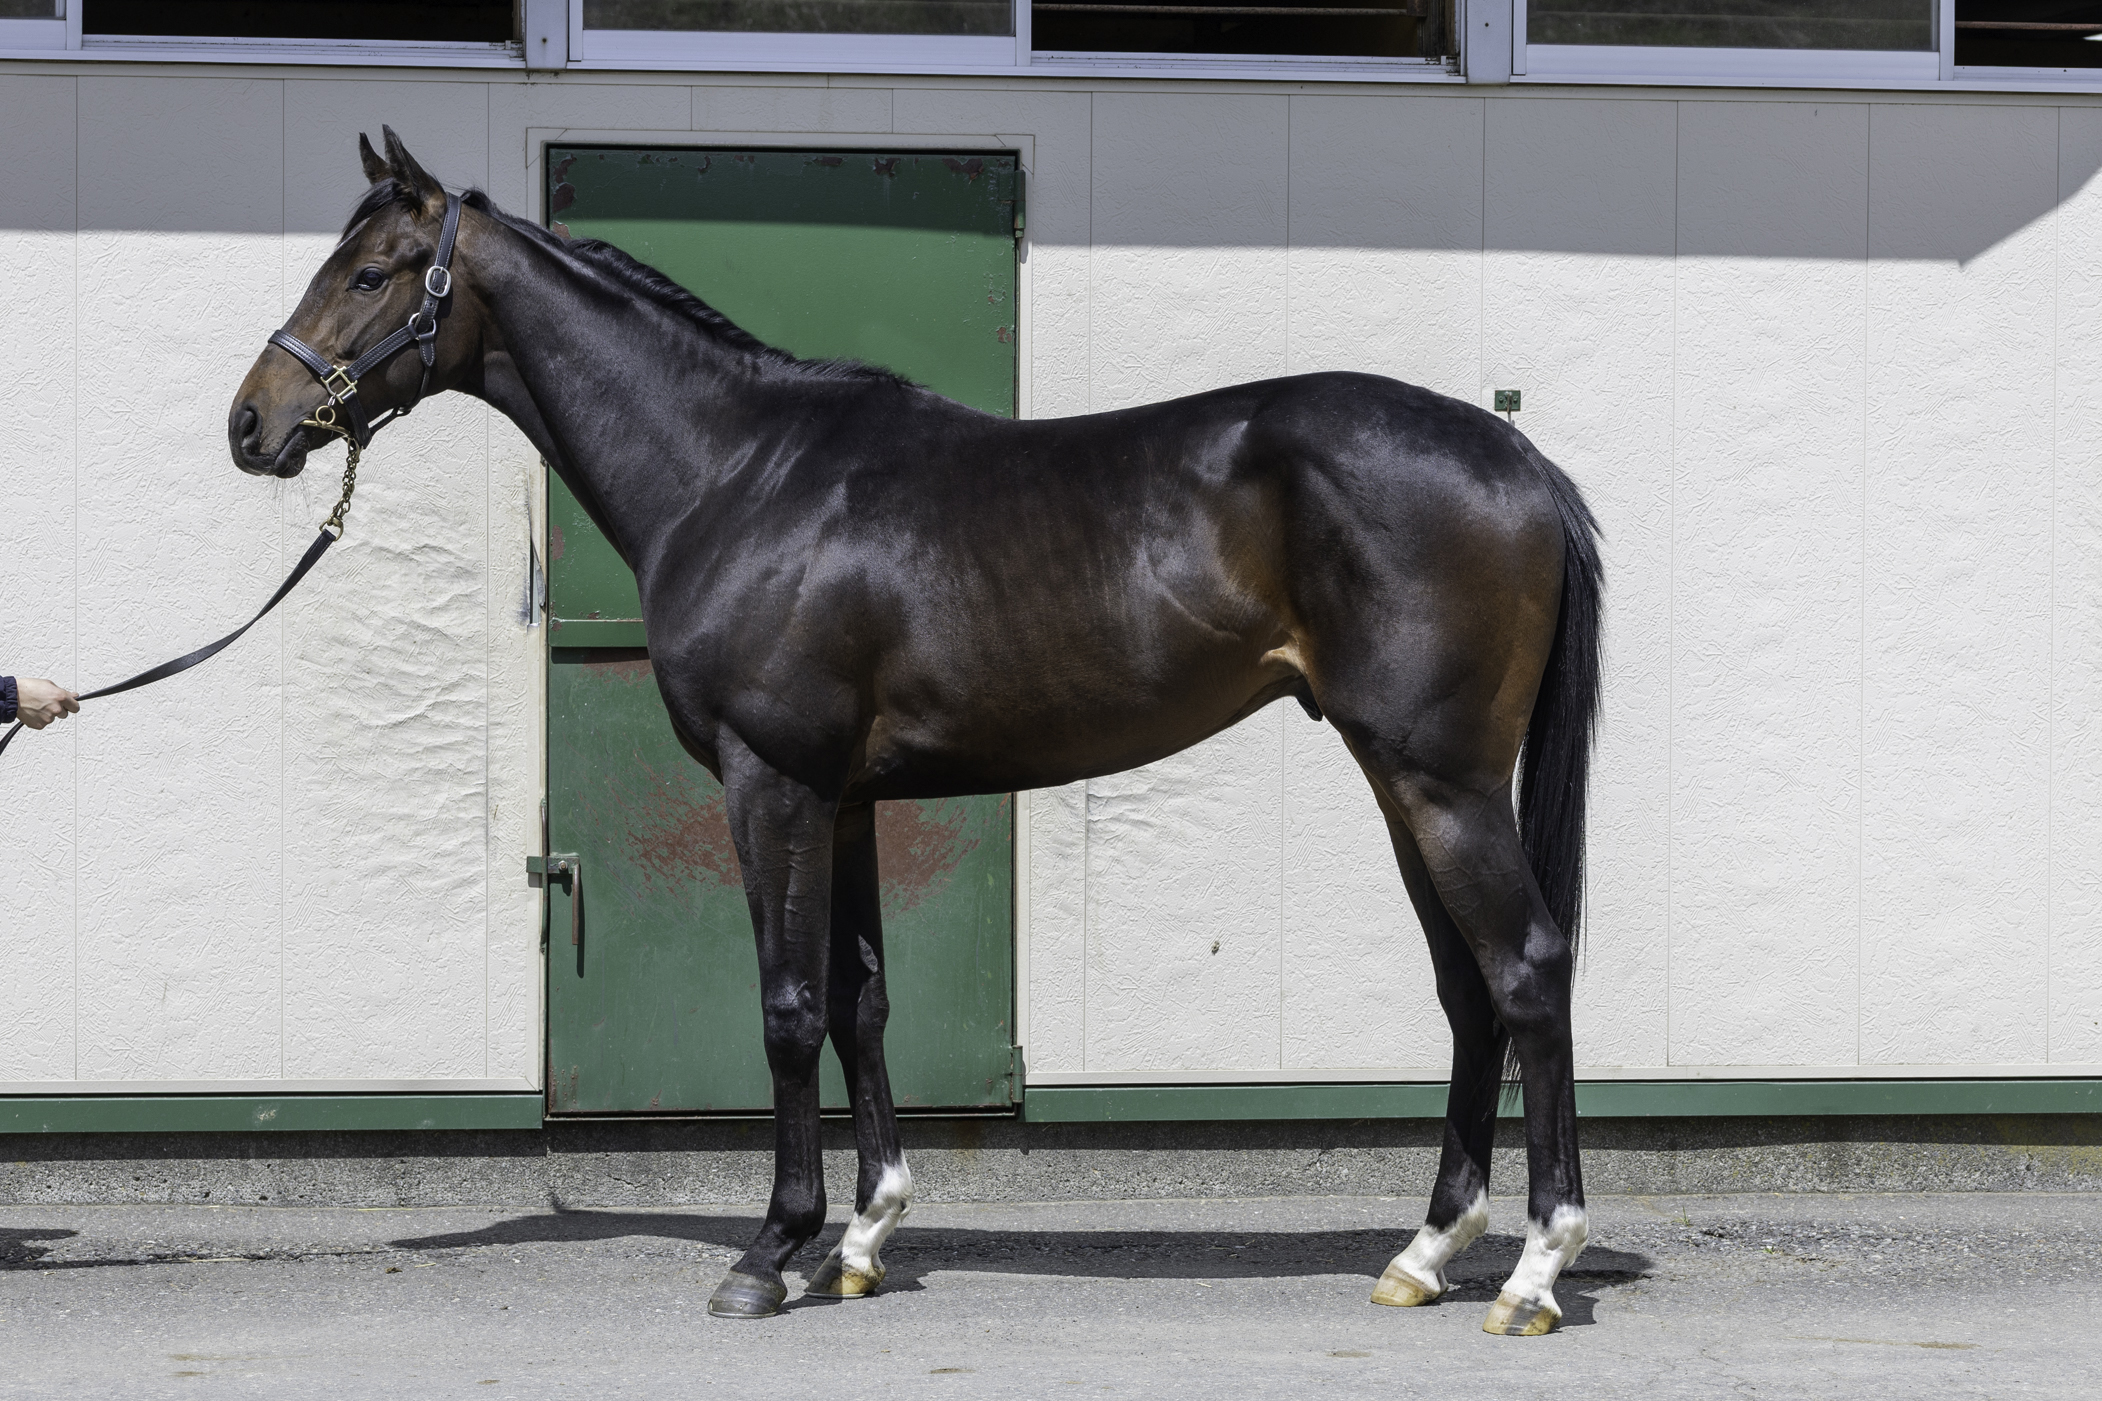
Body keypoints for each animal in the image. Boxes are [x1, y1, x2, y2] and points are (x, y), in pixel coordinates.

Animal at [229, 129, 1604, 1336]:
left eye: (368, 274)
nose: (251, 424)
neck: (739, 474)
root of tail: (1518, 459)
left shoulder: (771, 783)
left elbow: (788, 1006)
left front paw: (769, 1251)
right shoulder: (843, 800)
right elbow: (860, 1001)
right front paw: (864, 1237)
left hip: (1441, 781)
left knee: (1528, 970)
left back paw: (1536, 1270)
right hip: (1400, 780)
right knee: (1469, 989)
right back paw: (1424, 1255)